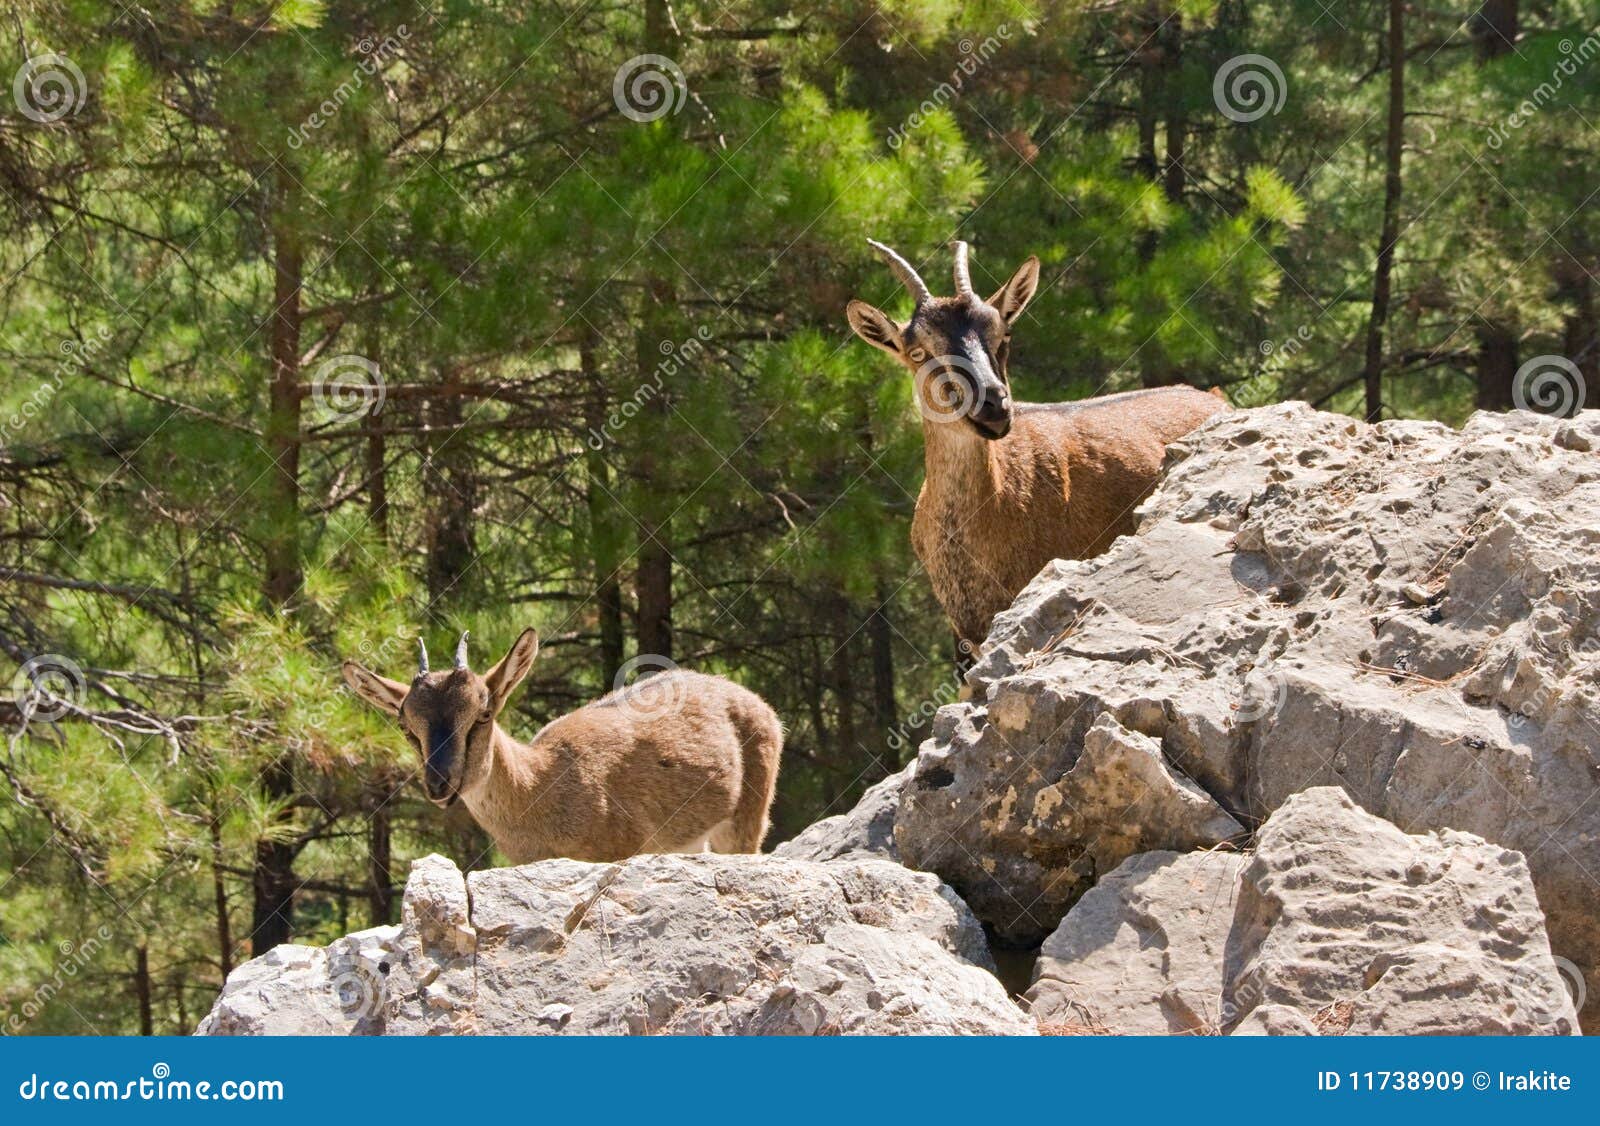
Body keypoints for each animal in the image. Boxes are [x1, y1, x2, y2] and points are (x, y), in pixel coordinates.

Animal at [342, 630, 782, 862]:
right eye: (406, 726)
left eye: (483, 714)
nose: (439, 783)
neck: (539, 786)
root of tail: (764, 708)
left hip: (747, 820)